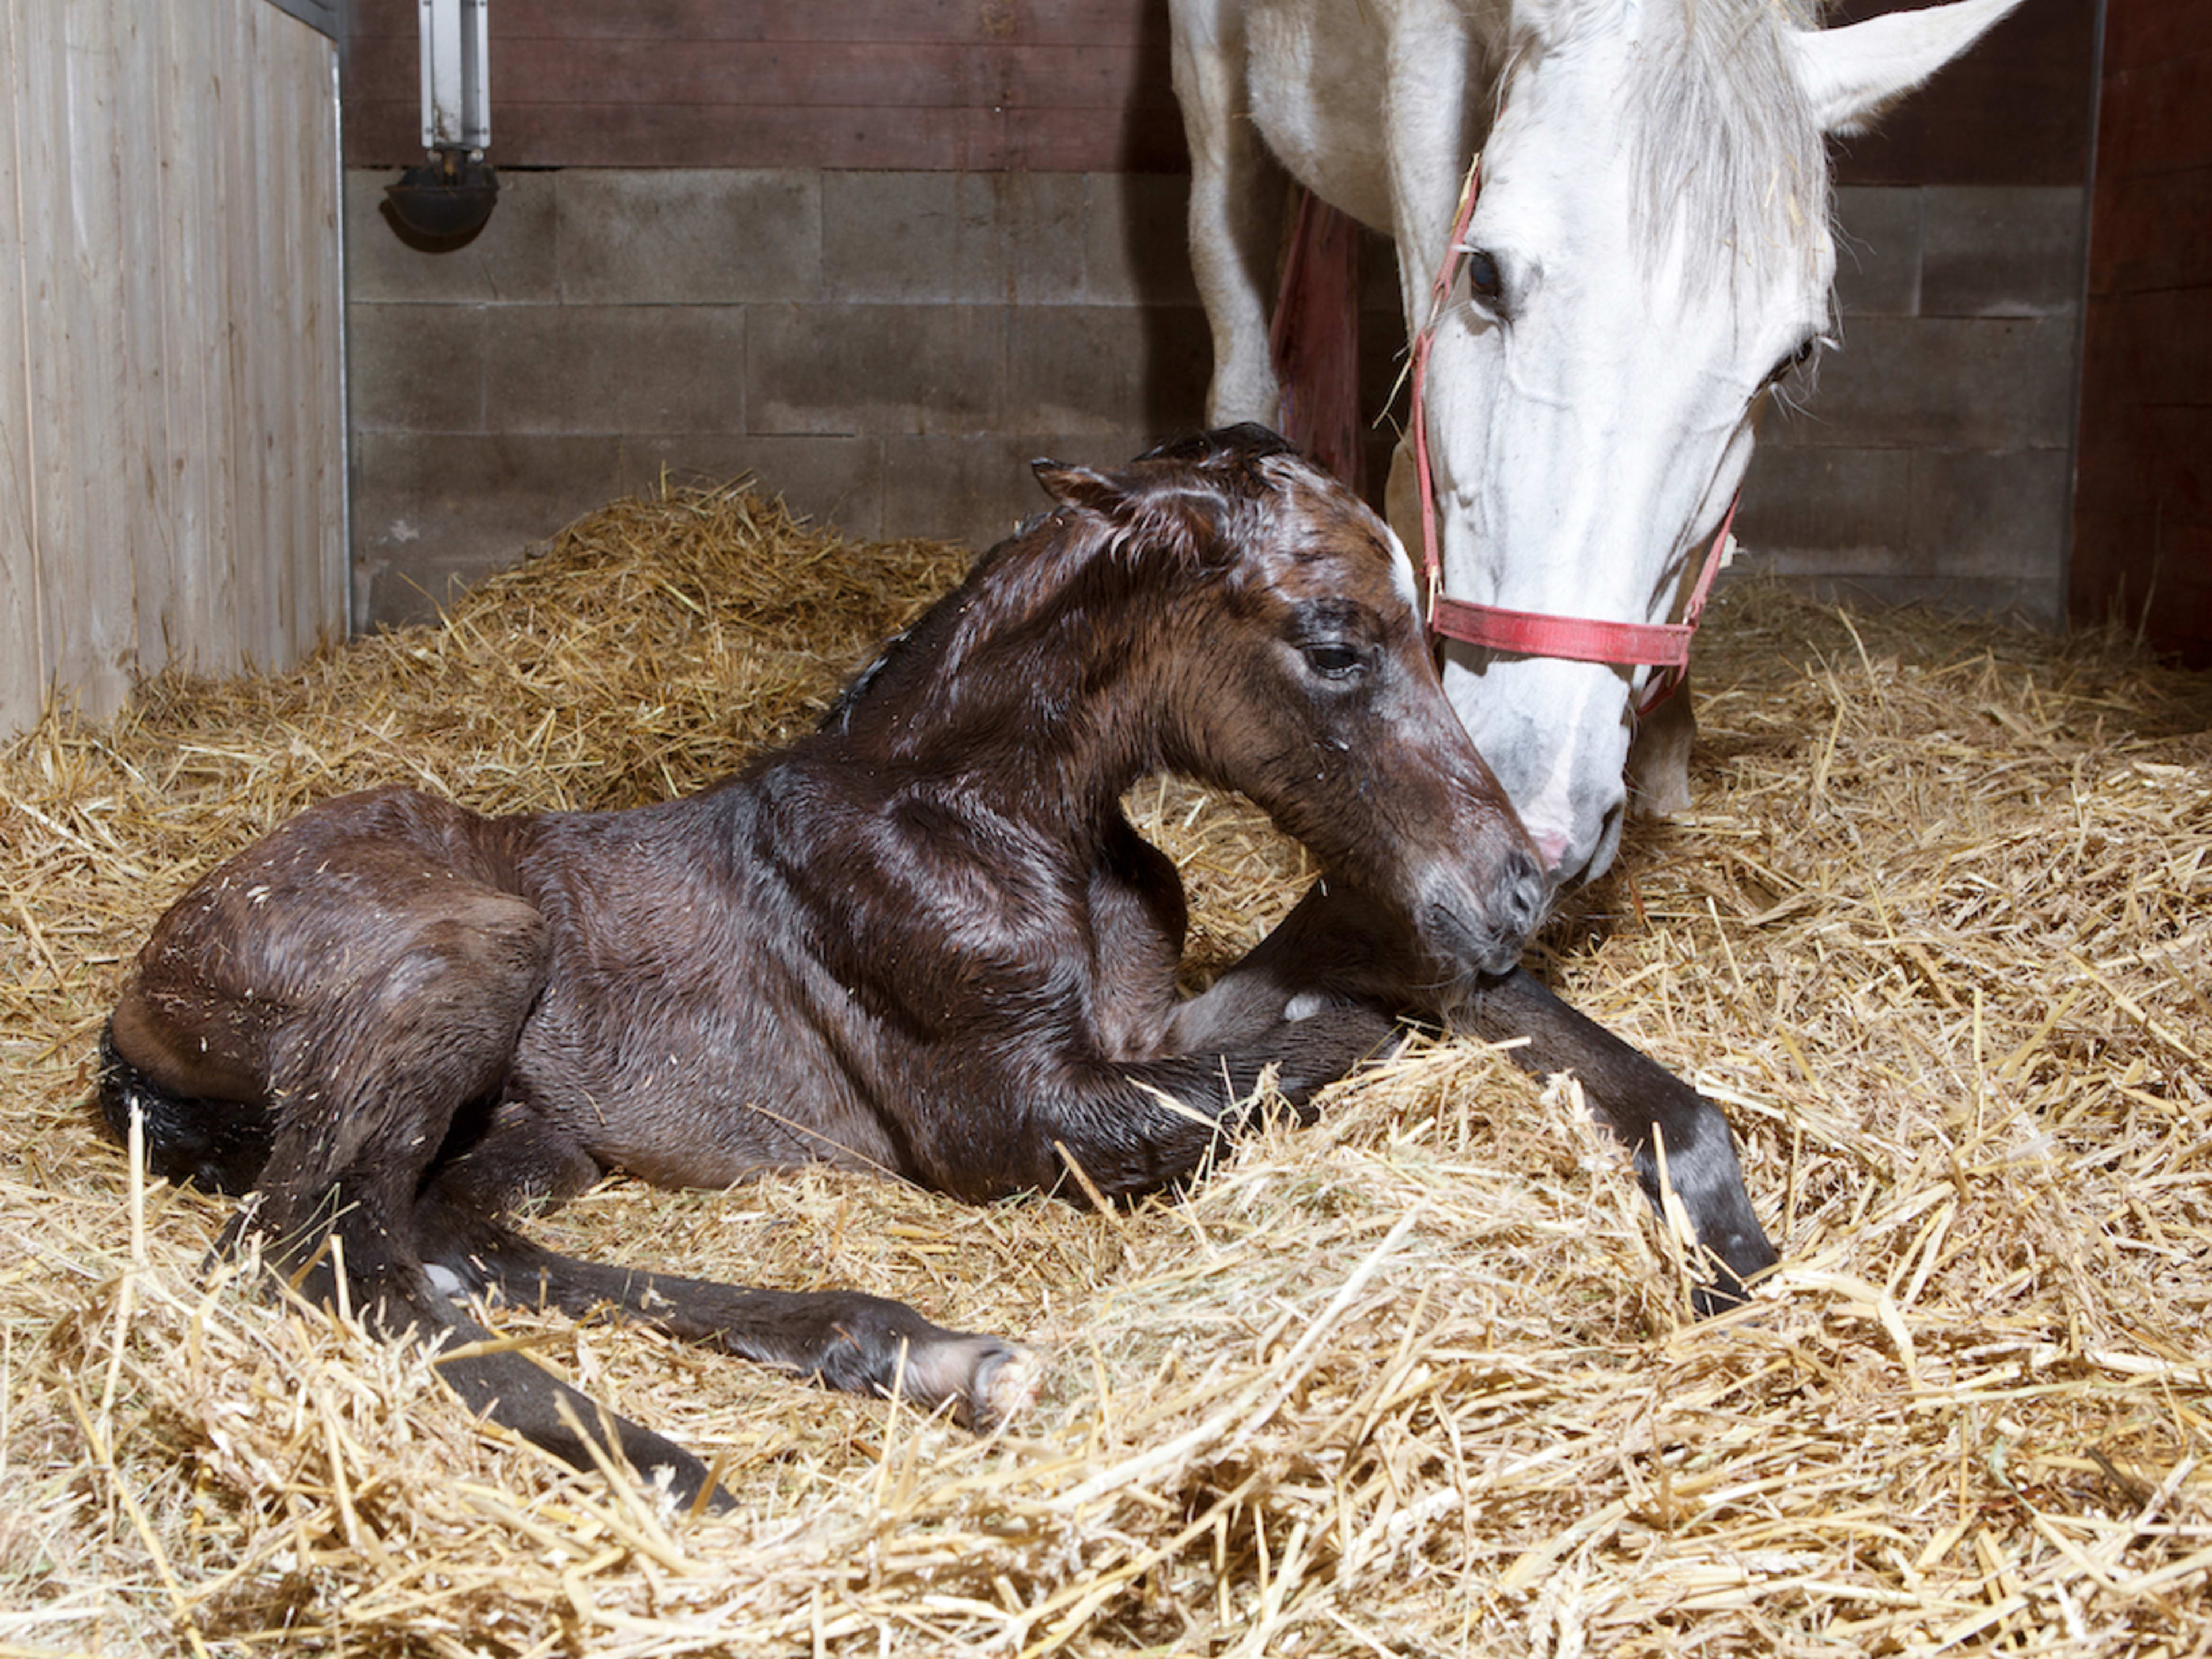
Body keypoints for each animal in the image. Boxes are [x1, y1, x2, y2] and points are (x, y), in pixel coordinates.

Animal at [97, 427, 1773, 1513]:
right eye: (1334, 641)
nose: (1516, 887)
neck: (983, 816)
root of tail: (136, 997)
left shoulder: (1141, 1021)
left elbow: (1354, 1001)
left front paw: (1725, 1236)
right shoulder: (1008, 1115)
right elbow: (1315, 1050)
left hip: (536, 1133)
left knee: (451, 1241)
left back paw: (917, 1357)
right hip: (468, 958)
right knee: (307, 1249)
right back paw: (672, 1459)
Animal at [1169, 0, 2027, 885]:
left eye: (1791, 359)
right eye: (1484, 275)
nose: (1542, 820)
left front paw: (1666, 757)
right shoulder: (1424, 87)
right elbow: (1413, 474)